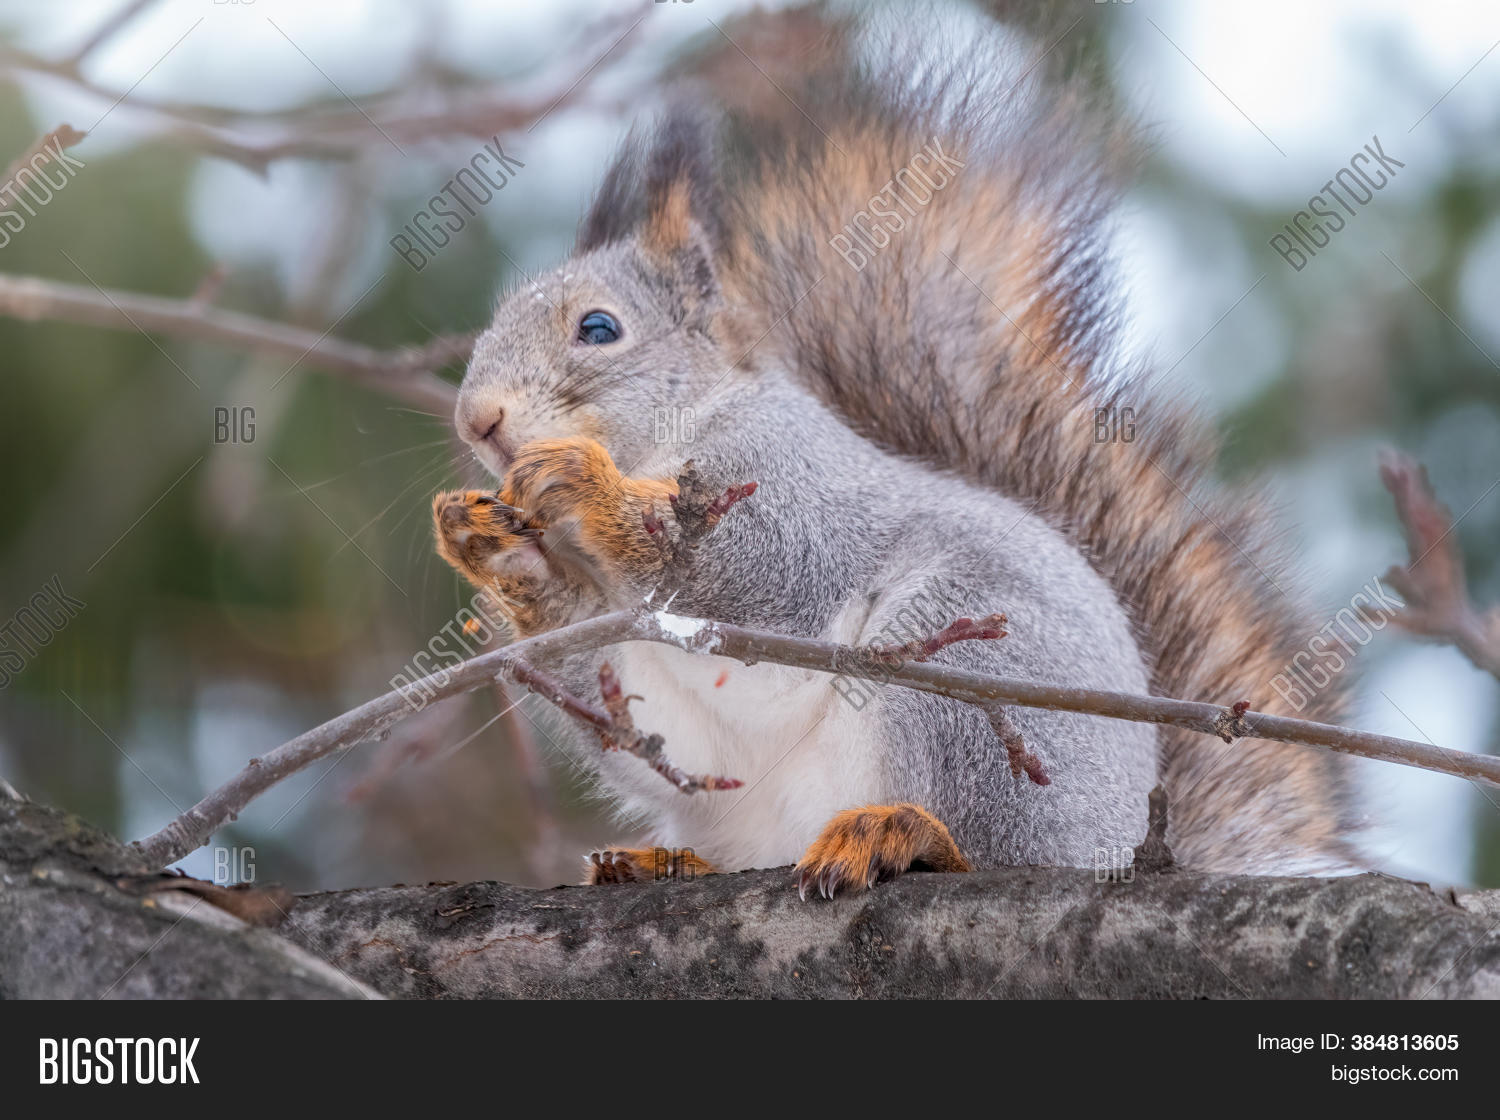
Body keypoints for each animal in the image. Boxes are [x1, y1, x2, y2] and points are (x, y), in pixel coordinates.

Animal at [431, 10, 1362, 896]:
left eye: (599, 328)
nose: (476, 418)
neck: (675, 429)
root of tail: (1124, 845)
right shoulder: (639, 669)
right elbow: (610, 684)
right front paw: (488, 546)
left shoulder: (793, 480)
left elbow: (765, 570)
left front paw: (586, 485)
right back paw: (664, 863)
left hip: (973, 676)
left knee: (987, 847)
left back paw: (904, 833)